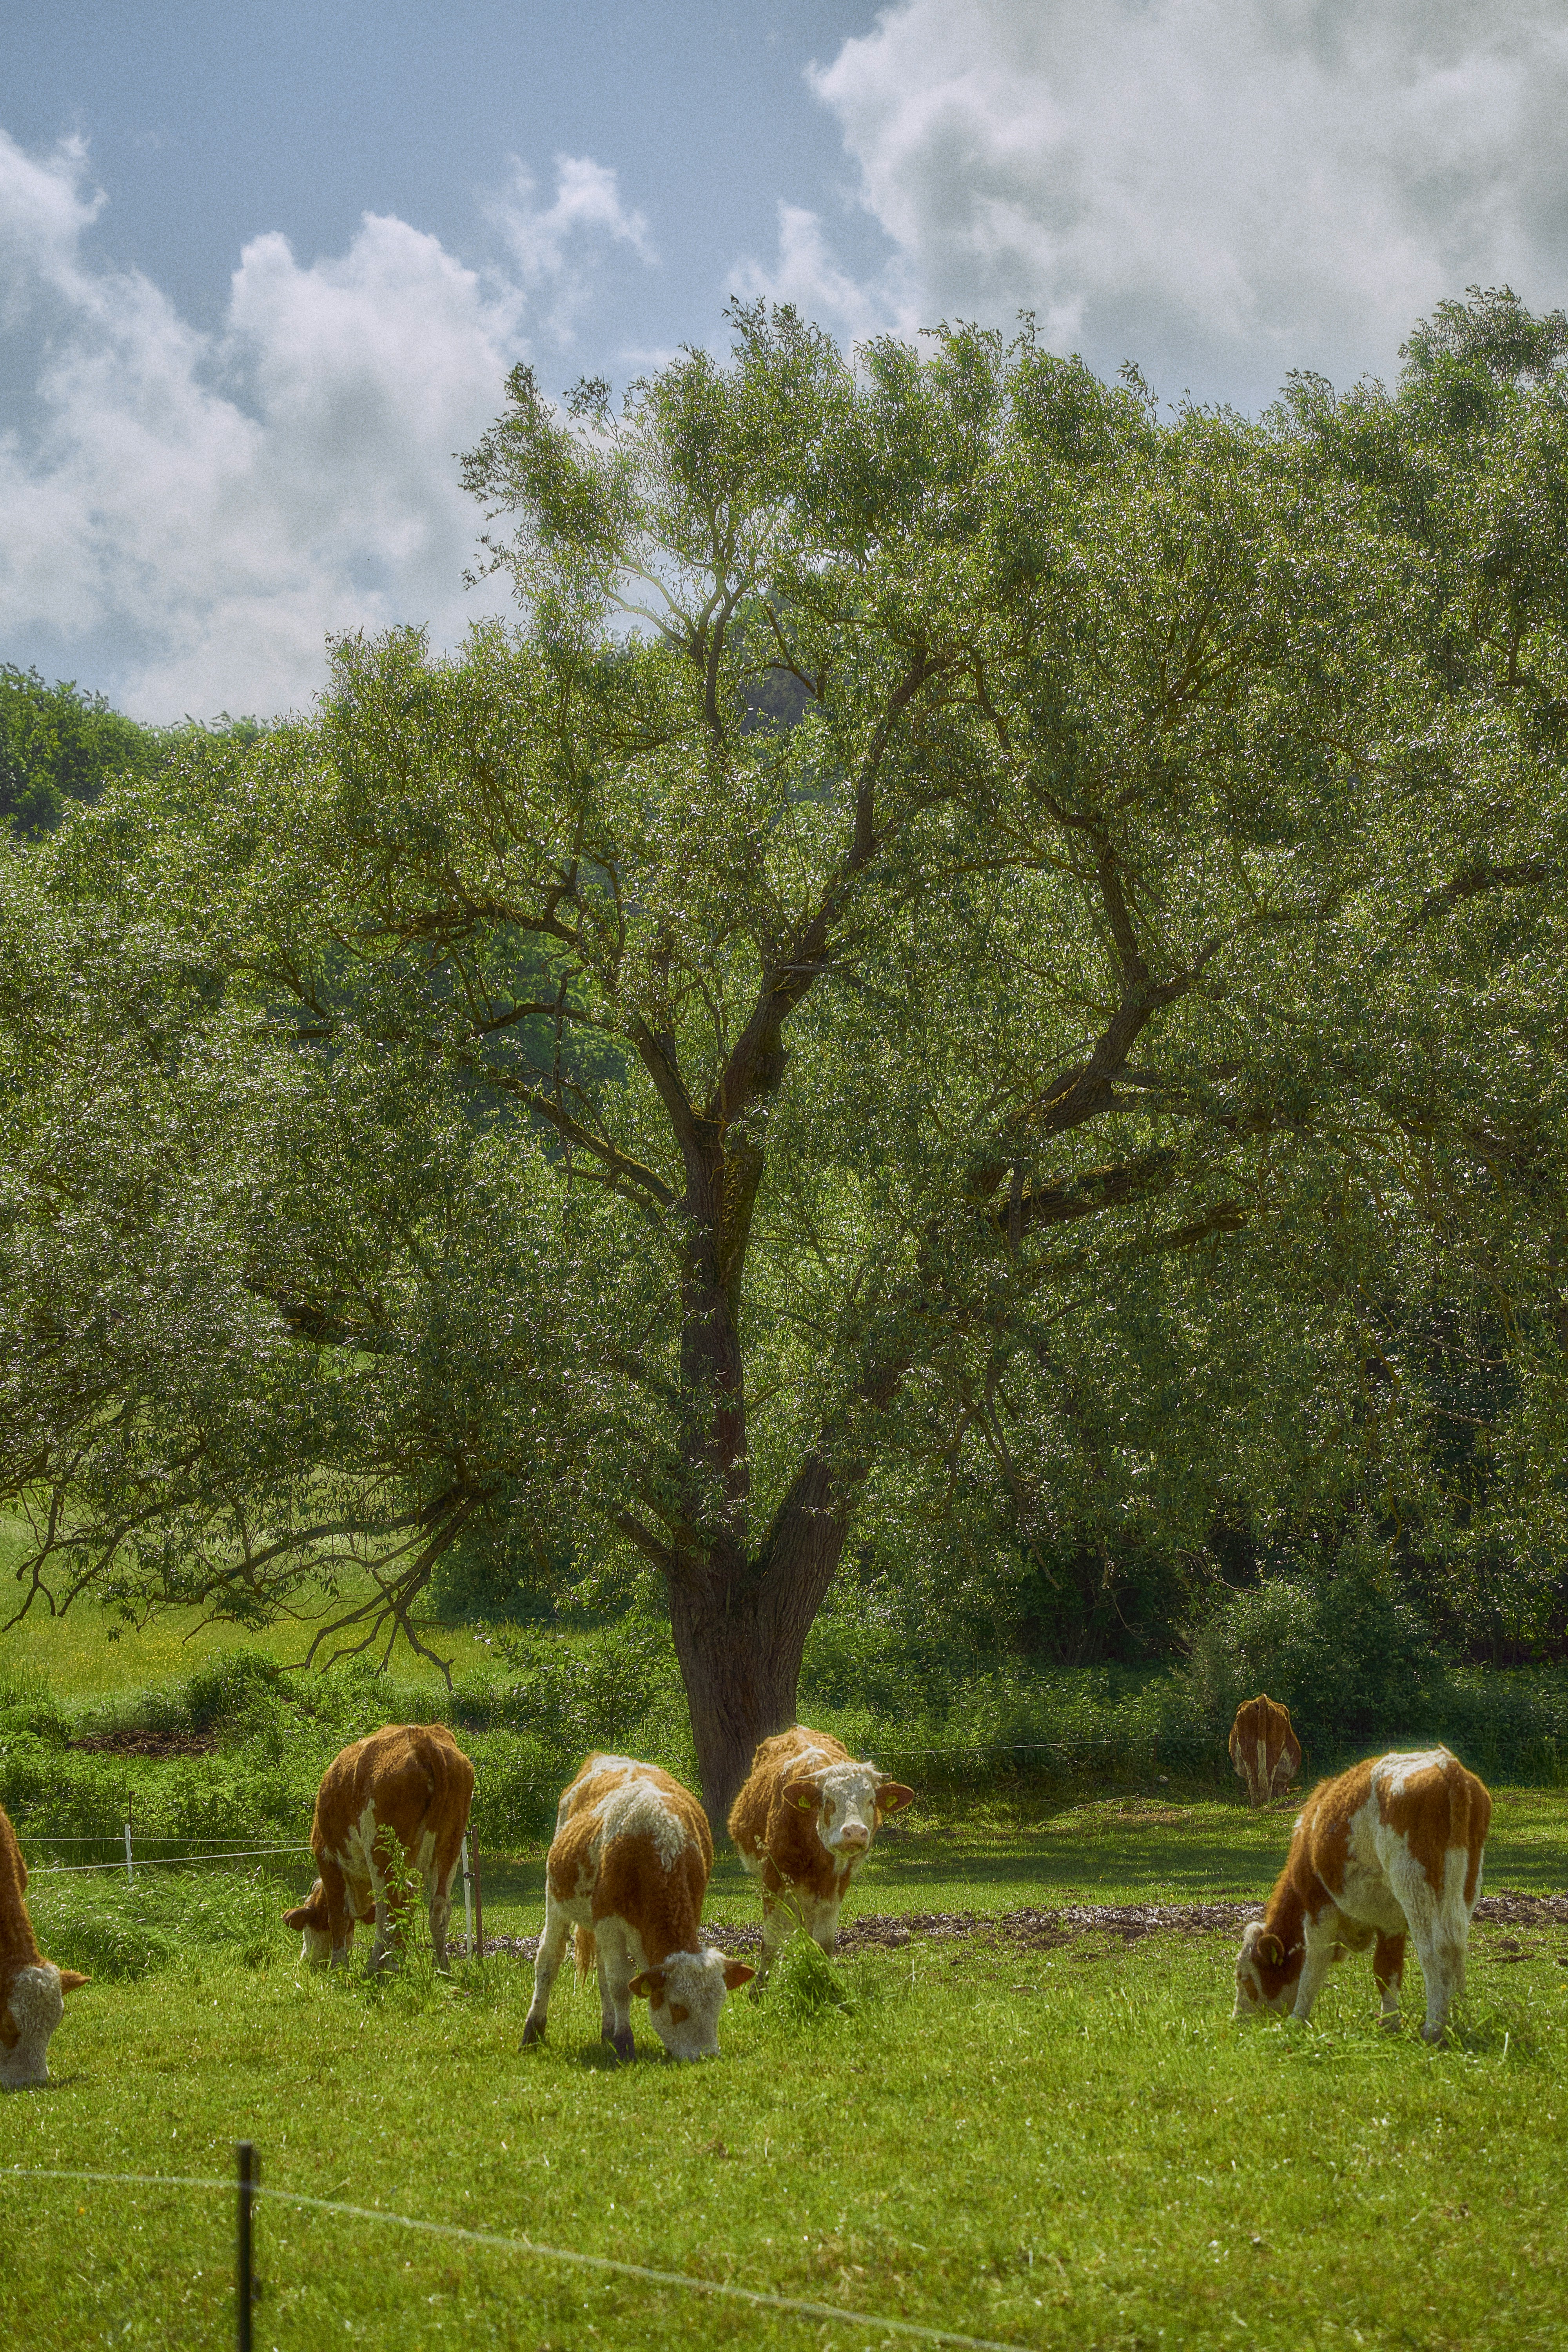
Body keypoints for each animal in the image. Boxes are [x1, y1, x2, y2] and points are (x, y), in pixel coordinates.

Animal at [282, 1722, 474, 1973]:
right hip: (450, 1845)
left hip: (381, 1853)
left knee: (387, 1914)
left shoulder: (326, 1857)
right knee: (439, 1908)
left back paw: (374, 1967)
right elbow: (408, 1911)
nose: (307, 1960)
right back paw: (441, 1966)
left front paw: (339, 1964)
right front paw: (397, 1961)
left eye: (308, 1924)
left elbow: (338, 1916)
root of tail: (422, 1737)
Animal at [522, 1754, 753, 2061]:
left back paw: (606, 2030)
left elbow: (621, 1978)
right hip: (556, 1897)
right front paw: (624, 2043)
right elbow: (621, 1984)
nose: (707, 2056)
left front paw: (621, 2037)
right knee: (550, 1959)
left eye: (718, 2006)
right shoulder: (609, 1920)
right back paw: (532, 2033)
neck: (659, 1843)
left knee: (601, 1972)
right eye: (677, 2007)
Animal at [726, 1725, 915, 1989]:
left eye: (871, 1801)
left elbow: (823, 1942)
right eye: (829, 1801)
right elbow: (771, 1939)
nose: (855, 1831)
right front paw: (759, 1988)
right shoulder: (773, 1878)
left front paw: (823, 1982)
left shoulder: (836, 1884)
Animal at [1233, 1746, 1491, 2043]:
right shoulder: (1391, 1922)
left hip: (1416, 1887)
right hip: (1465, 1886)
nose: (1237, 2020)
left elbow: (1313, 1964)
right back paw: (1455, 2022)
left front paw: (1297, 2019)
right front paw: (1389, 2023)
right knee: (1456, 1948)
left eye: (1245, 1977)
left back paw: (1434, 2028)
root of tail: (1447, 1764)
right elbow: (1386, 1970)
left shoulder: (1319, 1908)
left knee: (1437, 1952)